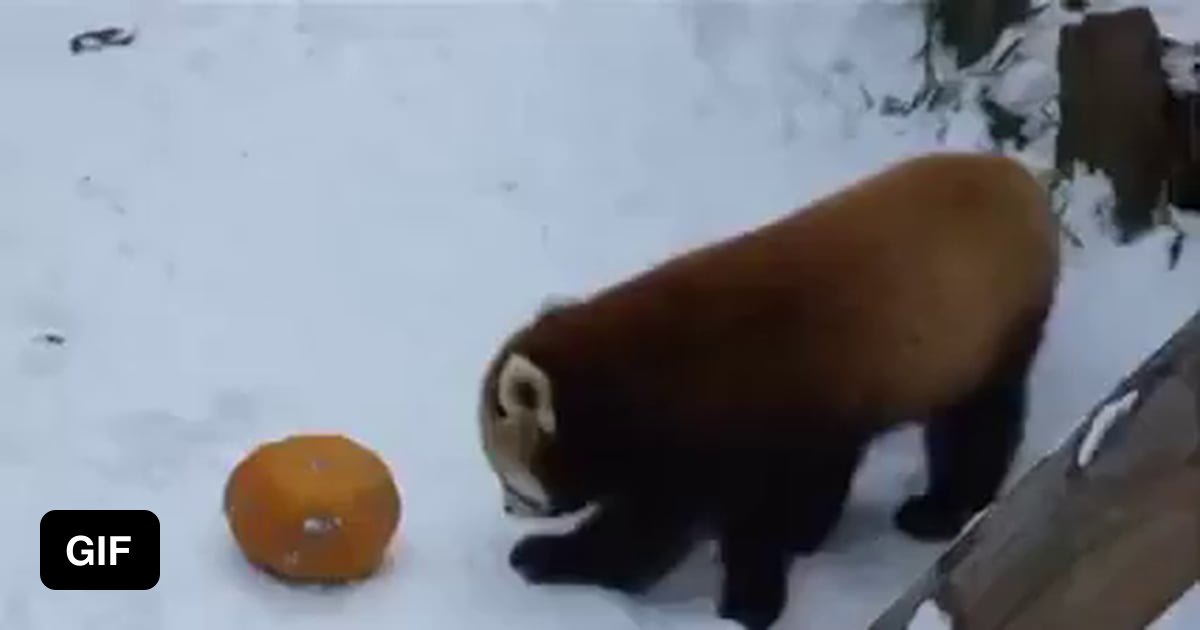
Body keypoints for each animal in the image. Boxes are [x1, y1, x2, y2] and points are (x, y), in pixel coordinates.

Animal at [476, 151, 1061, 629]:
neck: (634, 379)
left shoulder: (723, 430)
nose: (508, 508)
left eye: (508, 477)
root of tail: (1023, 180)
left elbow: (651, 537)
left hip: (989, 330)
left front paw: (546, 558)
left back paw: (941, 510)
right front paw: (793, 549)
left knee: (976, 428)